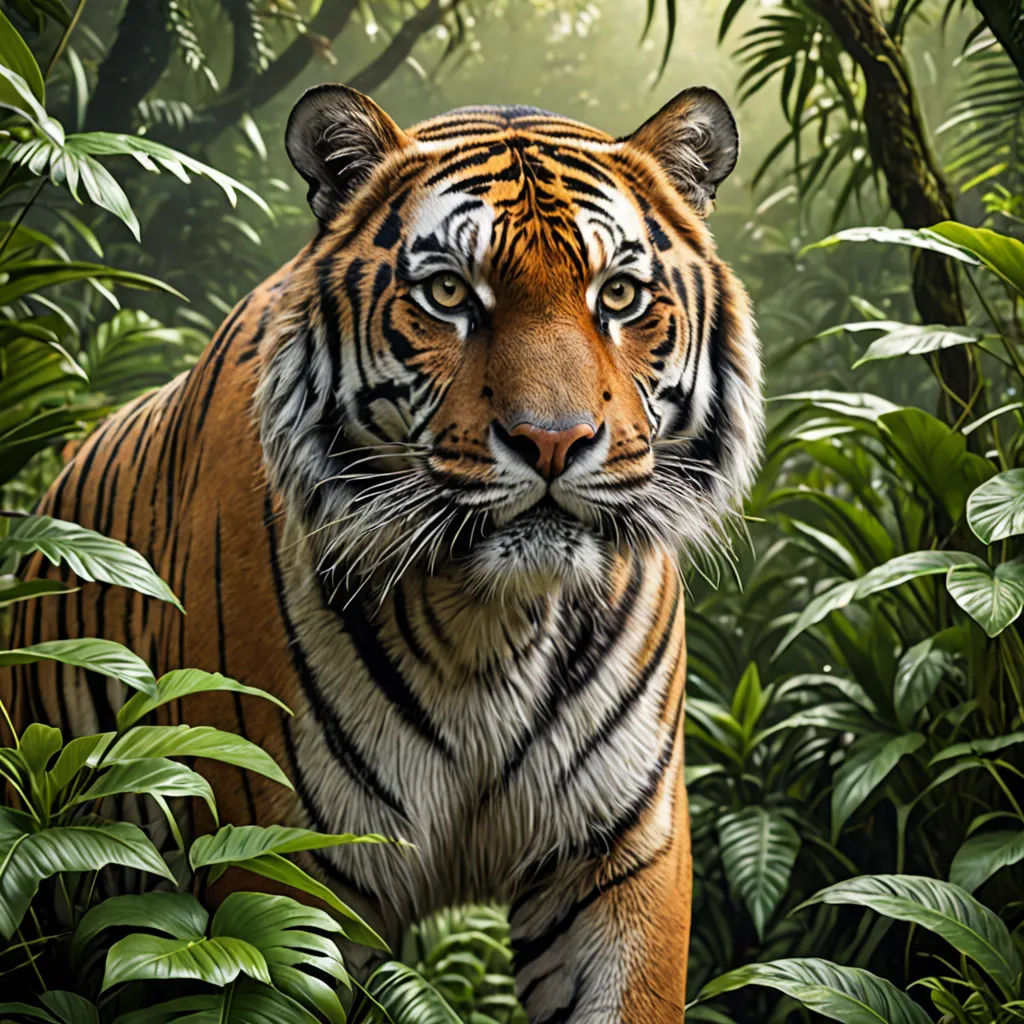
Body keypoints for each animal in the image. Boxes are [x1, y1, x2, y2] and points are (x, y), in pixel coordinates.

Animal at [5, 84, 763, 1021]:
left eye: (618, 294)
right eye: (448, 292)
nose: (553, 442)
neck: (492, 621)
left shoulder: (619, 854)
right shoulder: (275, 864)